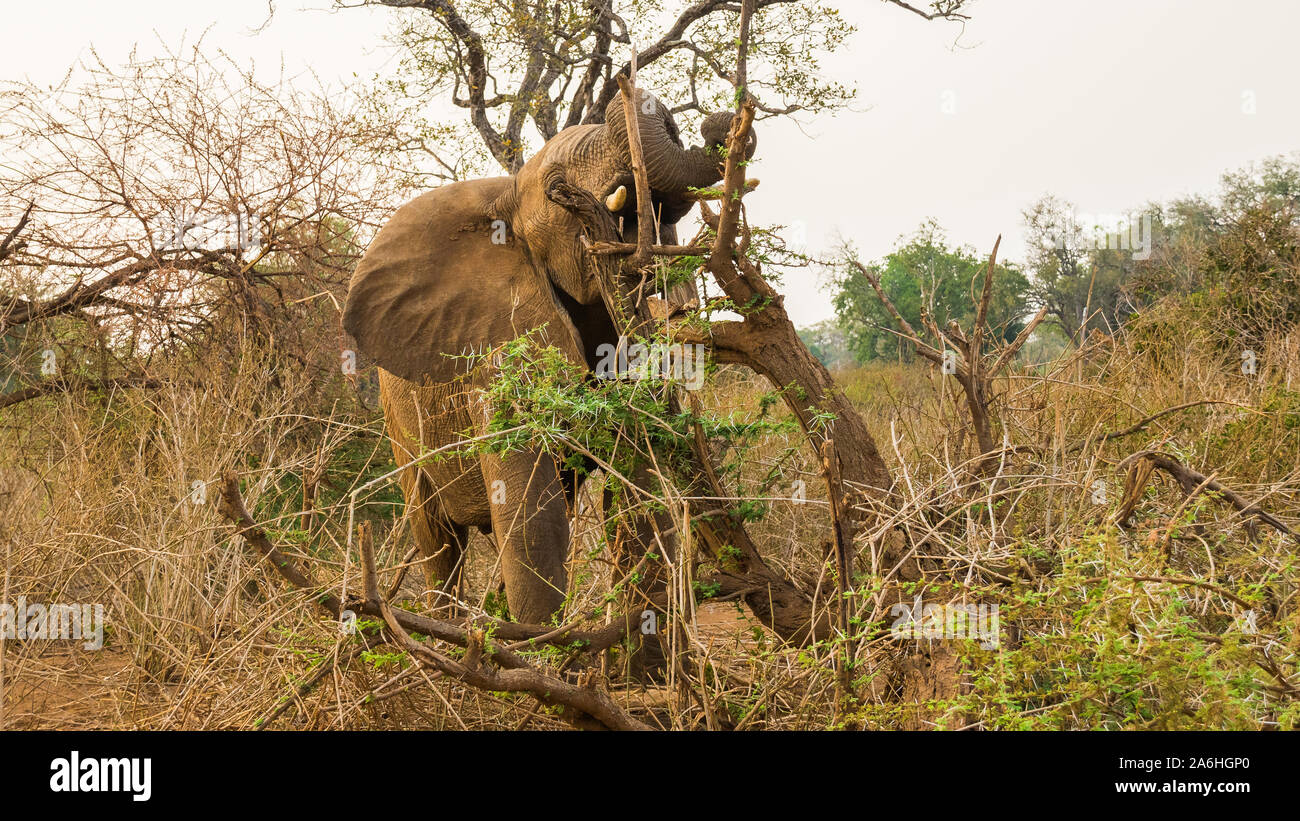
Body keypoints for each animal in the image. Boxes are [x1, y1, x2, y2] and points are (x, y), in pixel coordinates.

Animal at [342, 87, 756, 629]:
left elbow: (636, 490)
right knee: (439, 543)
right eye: (558, 186)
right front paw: (539, 647)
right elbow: (531, 518)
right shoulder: (496, 358)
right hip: (399, 425)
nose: (705, 125)